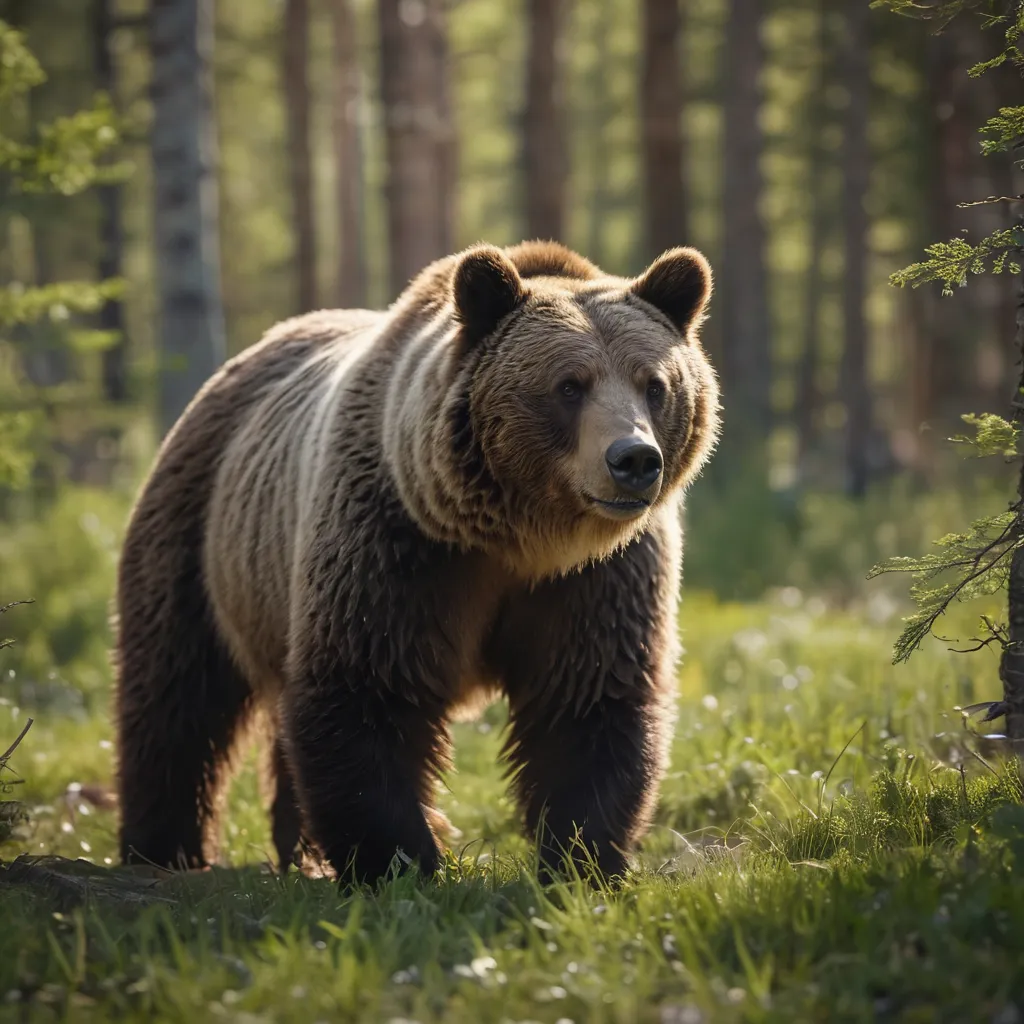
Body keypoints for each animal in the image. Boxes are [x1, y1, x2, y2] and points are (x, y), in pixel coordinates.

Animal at [113, 239, 720, 885]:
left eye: (654, 384)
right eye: (569, 385)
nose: (634, 459)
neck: (520, 539)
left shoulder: (596, 579)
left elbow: (590, 700)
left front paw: (580, 859)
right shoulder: (399, 546)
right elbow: (367, 689)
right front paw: (403, 861)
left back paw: (296, 851)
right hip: (202, 536)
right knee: (175, 695)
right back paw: (163, 849)